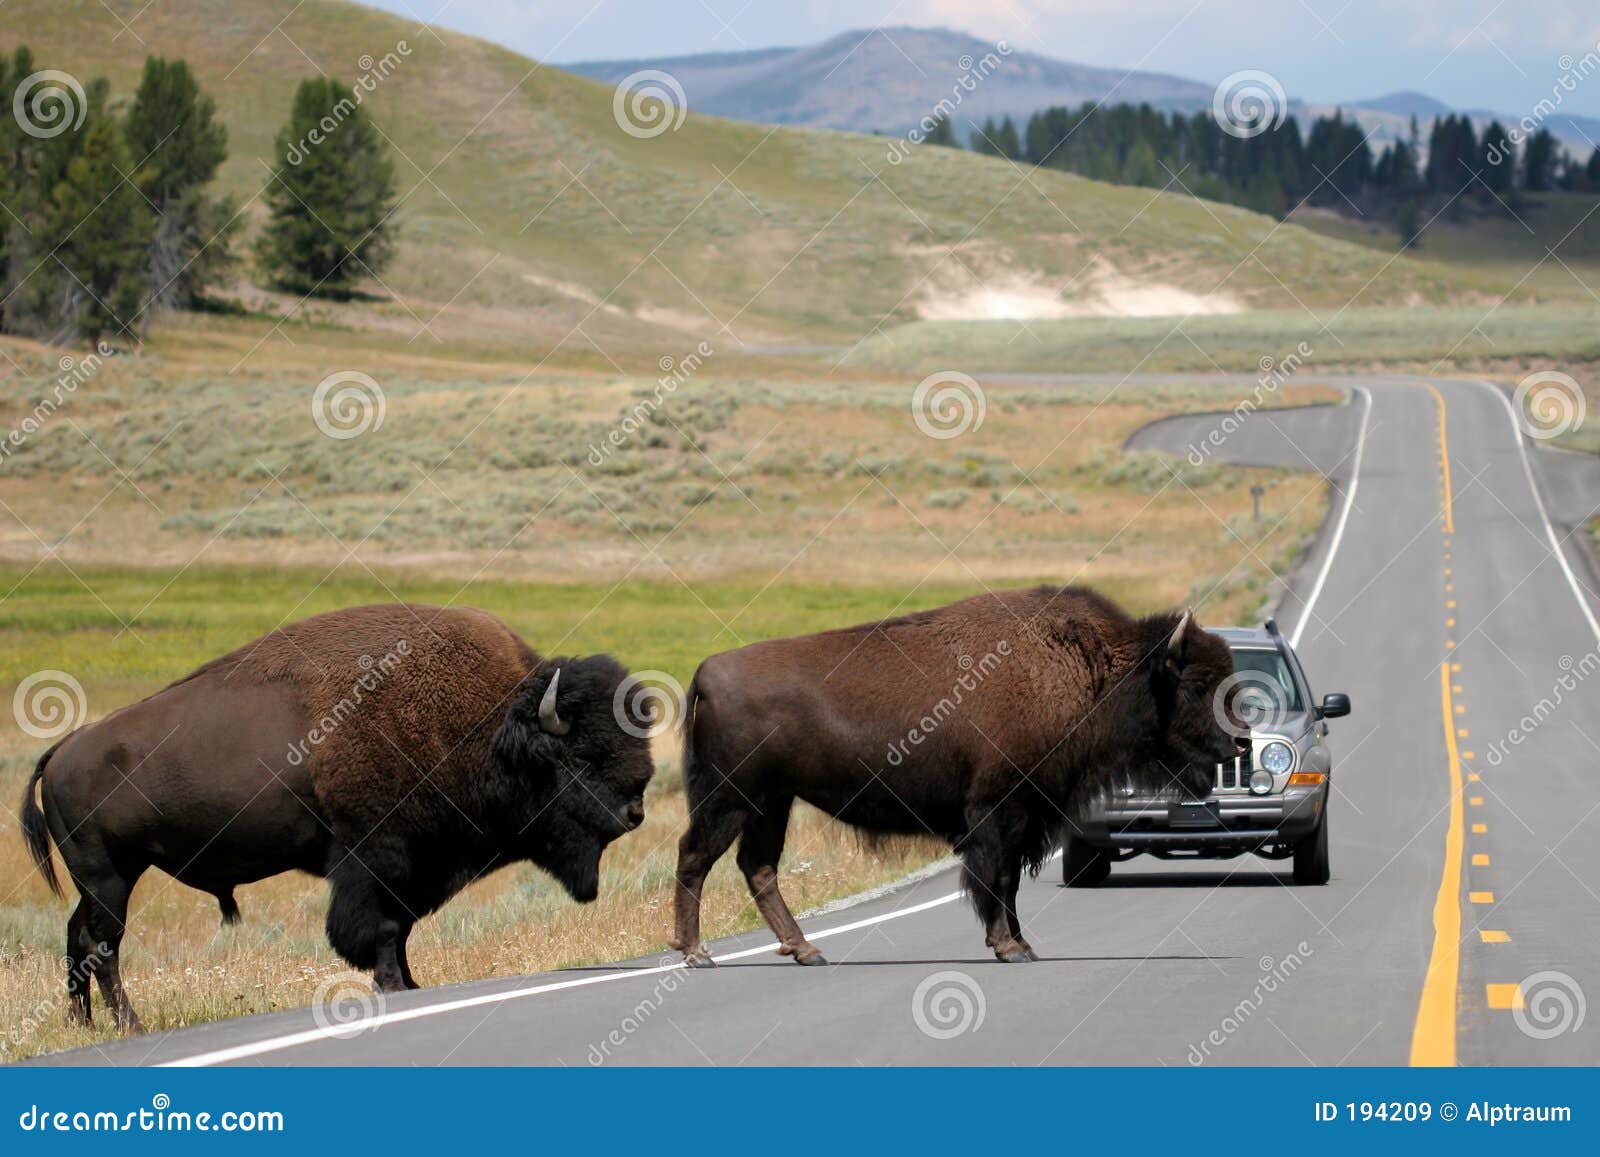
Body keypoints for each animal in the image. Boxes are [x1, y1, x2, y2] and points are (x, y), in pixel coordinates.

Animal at [19, 603, 654, 1030]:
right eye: (583, 755)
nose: (635, 809)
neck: (492, 727)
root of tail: (63, 749)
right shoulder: (375, 856)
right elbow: (379, 928)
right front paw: (395, 986)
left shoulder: (412, 867)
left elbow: (400, 927)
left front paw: (411, 981)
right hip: (109, 879)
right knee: (102, 945)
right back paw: (130, 1024)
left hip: (105, 881)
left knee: (78, 937)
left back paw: (83, 1025)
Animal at [671, 585, 1237, 967]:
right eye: (1197, 684)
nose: (1236, 743)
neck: (1093, 666)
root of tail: (706, 671)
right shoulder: (1000, 811)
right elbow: (997, 877)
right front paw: (1008, 946)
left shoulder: (1024, 818)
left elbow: (1009, 883)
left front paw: (1021, 942)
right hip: (729, 800)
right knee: (696, 857)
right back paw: (697, 954)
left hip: (771, 802)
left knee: (758, 867)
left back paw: (805, 949)